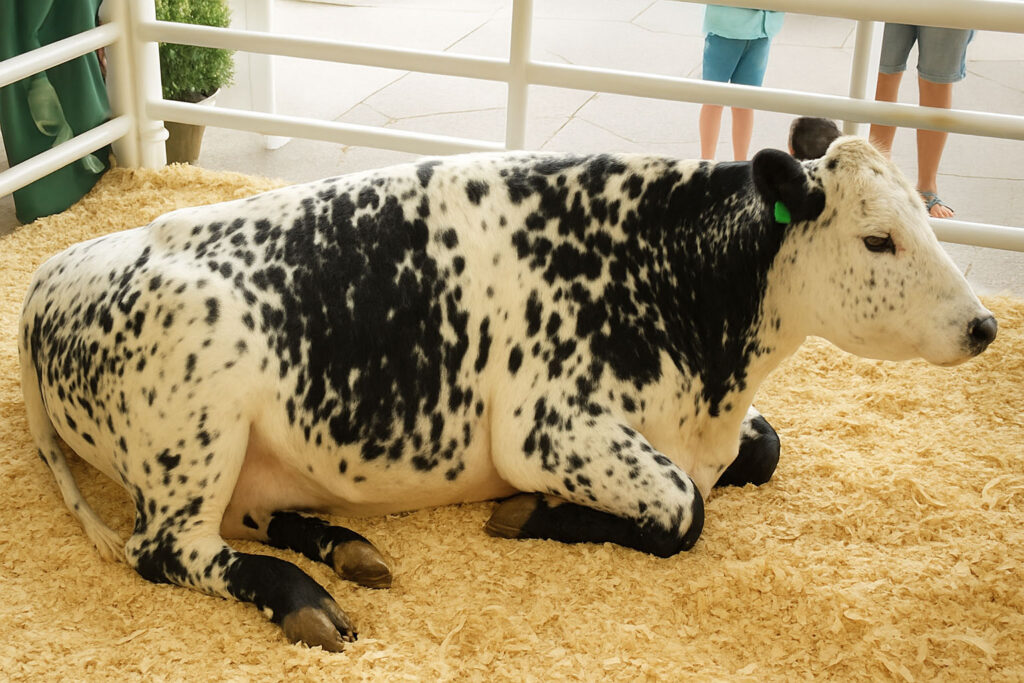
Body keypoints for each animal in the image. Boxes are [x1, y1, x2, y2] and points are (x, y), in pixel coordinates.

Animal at [19, 121, 996, 651]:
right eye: (878, 238)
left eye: (923, 213)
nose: (985, 324)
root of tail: (51, 272)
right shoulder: (546, 427)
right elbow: (684, 510)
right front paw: (530, 515)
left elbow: (767, 448)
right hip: (196, 434)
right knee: (168, 550)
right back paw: (306, 600)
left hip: (252, 458)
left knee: (256, 513)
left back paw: (345, 546)